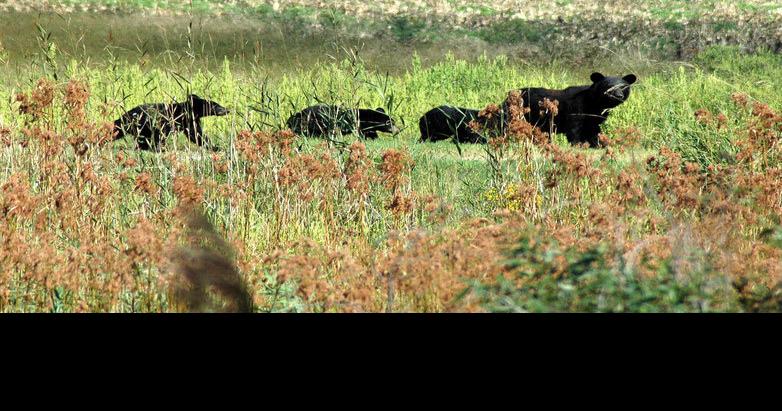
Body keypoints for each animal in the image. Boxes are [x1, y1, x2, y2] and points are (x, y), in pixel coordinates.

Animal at [502, 72, 637, 147]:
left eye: (623, 87)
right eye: (609, 86)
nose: (619, 96)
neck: (594, 104)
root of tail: (506, 98)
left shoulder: (595, 117)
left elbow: (594, 131)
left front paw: (601, 144)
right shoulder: (576, 108)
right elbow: (574, 129)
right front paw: (578, 144)